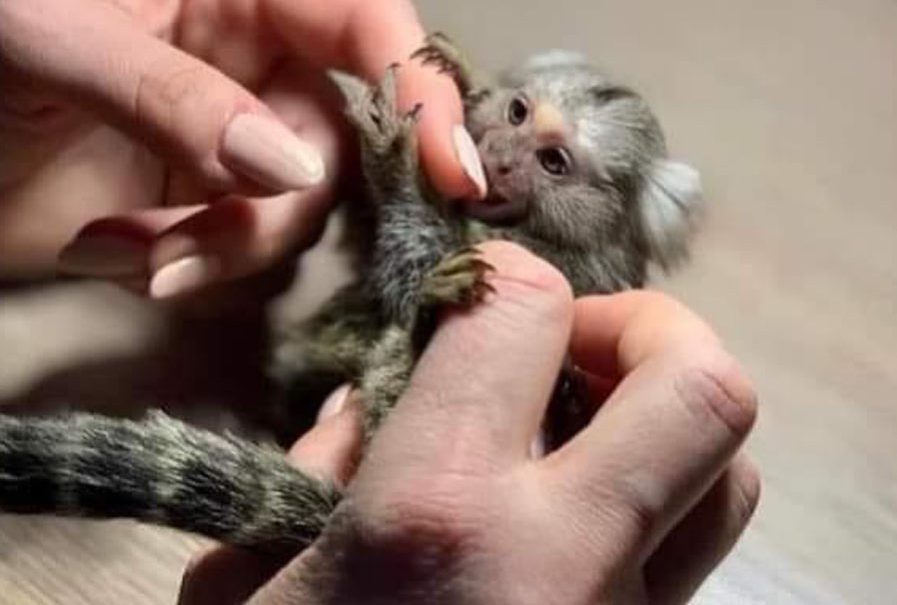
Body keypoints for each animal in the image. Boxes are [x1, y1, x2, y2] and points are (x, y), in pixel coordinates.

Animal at [0, 34, 703, 554]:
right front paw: (463, 81)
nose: (500, 158)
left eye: (553, 162)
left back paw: (428, 319)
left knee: (400, 346)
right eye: (517, 113)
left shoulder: (556, 266)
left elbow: (406, 271)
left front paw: (395, 159)